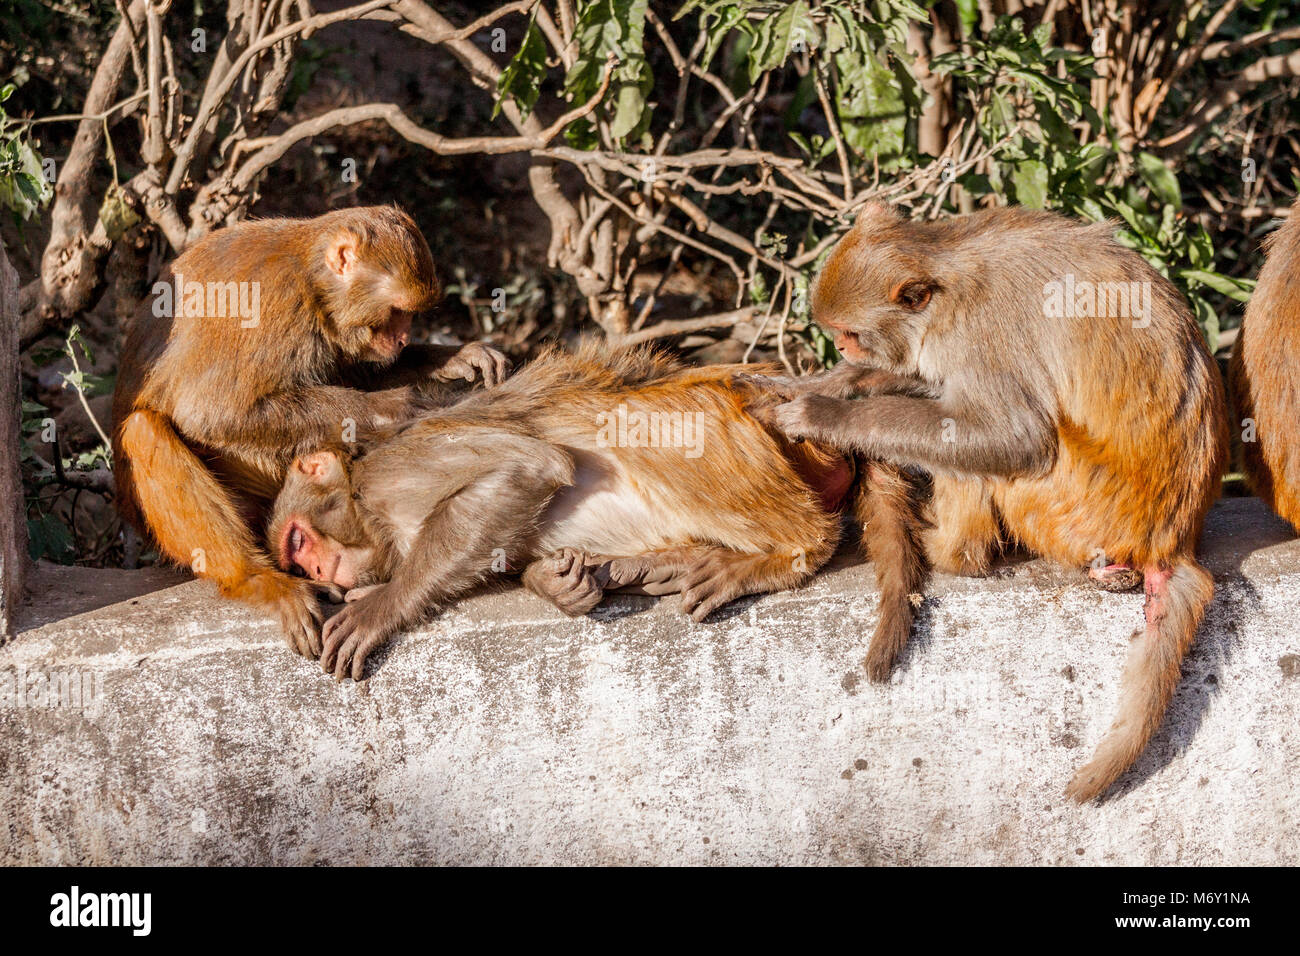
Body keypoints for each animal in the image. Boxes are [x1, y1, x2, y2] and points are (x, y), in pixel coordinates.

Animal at [111, 206, 510, 659]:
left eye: (410, 316)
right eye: (396, 312)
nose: (404, 338)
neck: (312, 282)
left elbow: (356, 372)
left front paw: (454, 358)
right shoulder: (275, 306)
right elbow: (211, 413)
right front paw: (393, 406)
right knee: (144, 429)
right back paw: (256, 578)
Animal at [263, 341, 928, 681]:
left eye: (297, 544)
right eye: (298, 564)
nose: (318, 574)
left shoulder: (390, 475)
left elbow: (528, 466)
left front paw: (380, 606)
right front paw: (556, 584)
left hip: (737, 424)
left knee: (647, 427)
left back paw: (788, 551)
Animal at [761, 203, 1228, 802]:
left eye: (850, 333)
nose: (843, 350)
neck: (948, 271)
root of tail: (1173, 541)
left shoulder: (979, 335)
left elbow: (1011, 436)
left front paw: (826, 414)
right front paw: (844, 383)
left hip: (1067, 502)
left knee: (1000, 454)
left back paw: (954, 552)